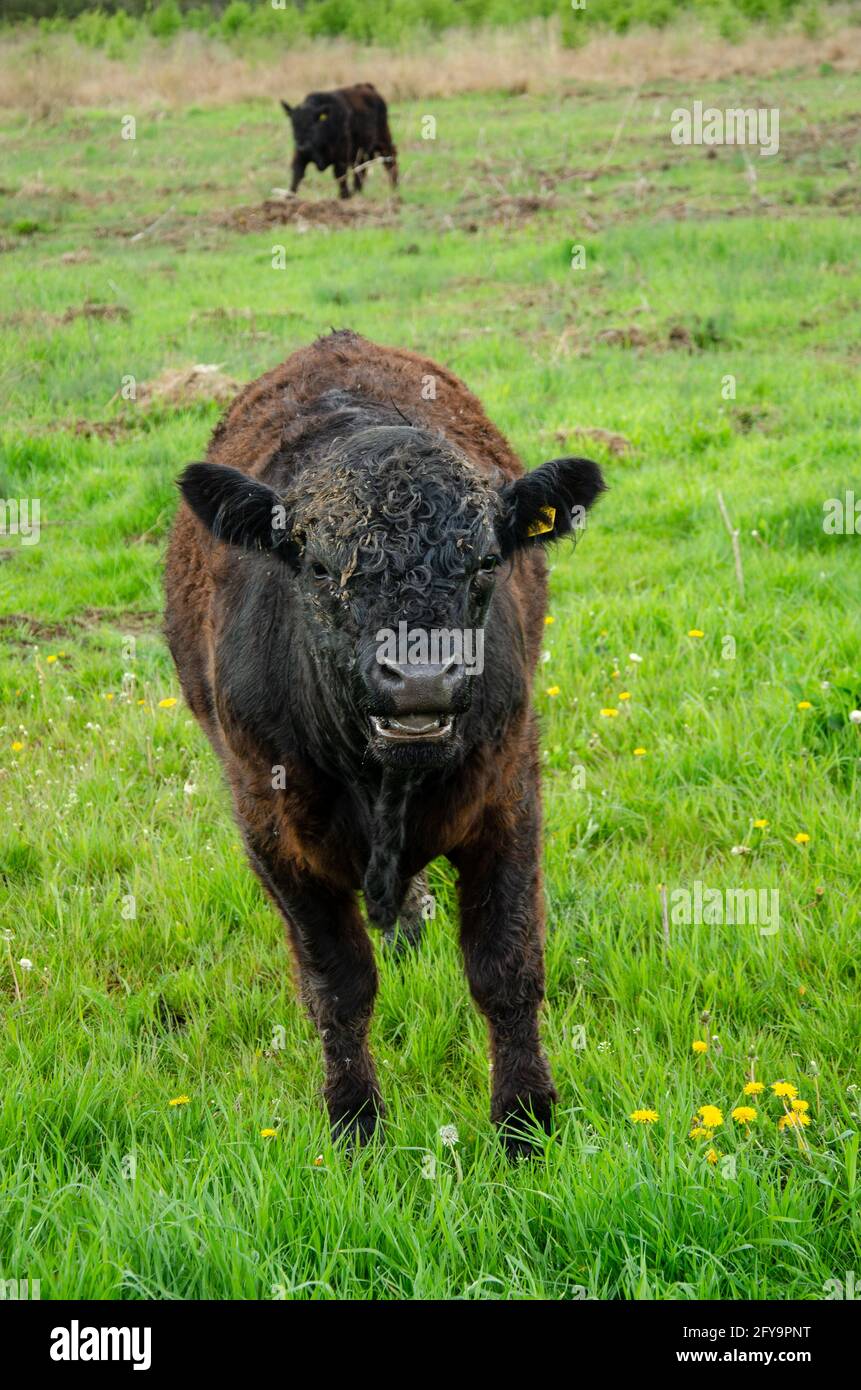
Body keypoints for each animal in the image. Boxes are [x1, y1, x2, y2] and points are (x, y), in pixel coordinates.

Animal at [164, 331, 605, 1157]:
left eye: (484, 561)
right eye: (316, 565)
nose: (420, 680)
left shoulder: (509, 798)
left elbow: (505, 968)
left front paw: (524, 1124)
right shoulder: (271, 831)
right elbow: (338, 985)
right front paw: (355, 1124)